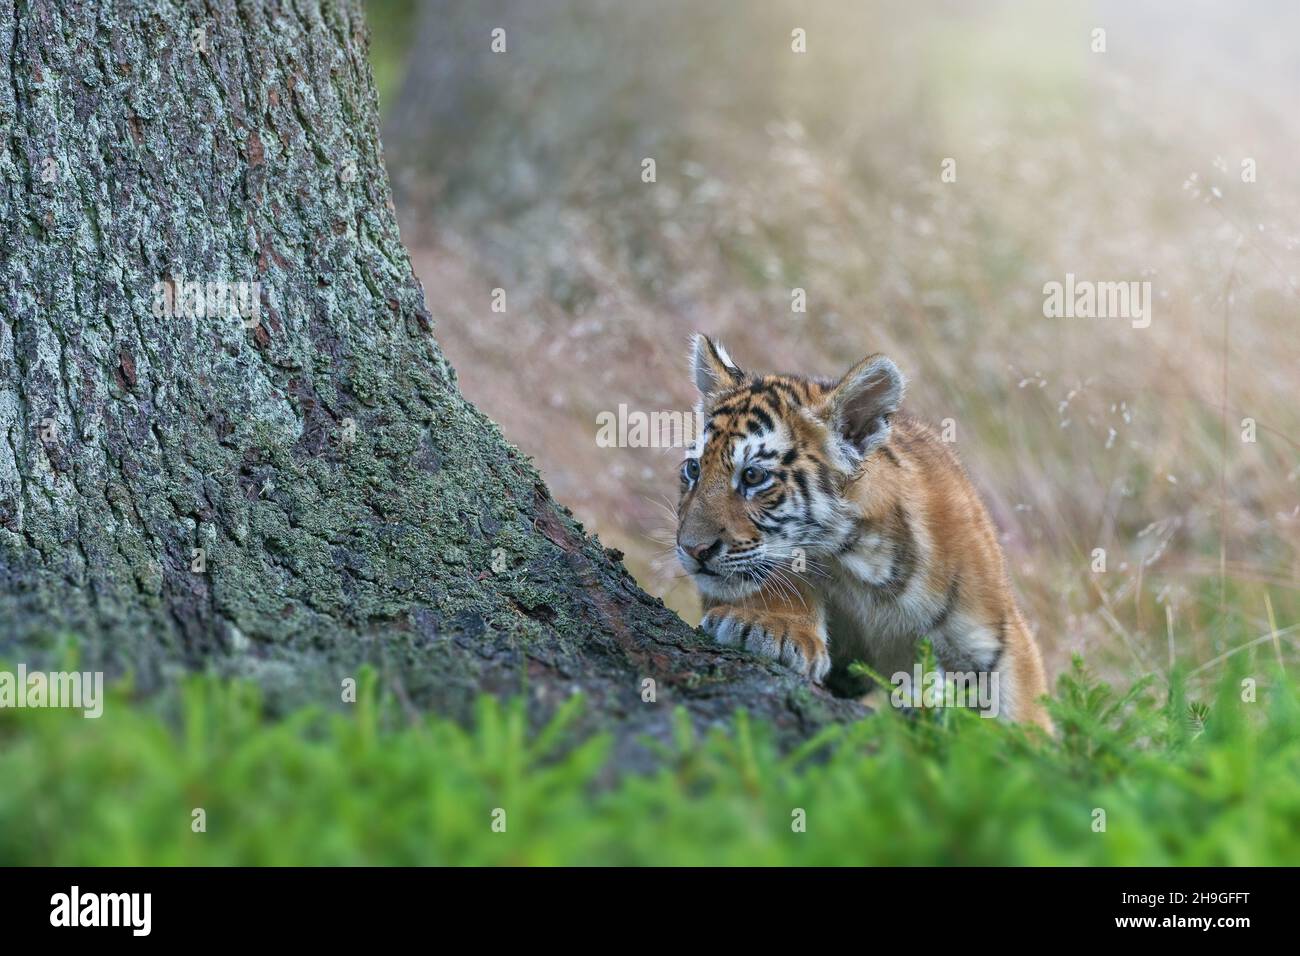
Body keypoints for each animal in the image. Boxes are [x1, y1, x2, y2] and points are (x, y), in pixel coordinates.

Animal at [675, 334, 1051, 730]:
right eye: (694, 469)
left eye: (753, 476)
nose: (692, 549)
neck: (857, 561)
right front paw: (768, 625)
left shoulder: (999, 635)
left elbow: (1023, 711)